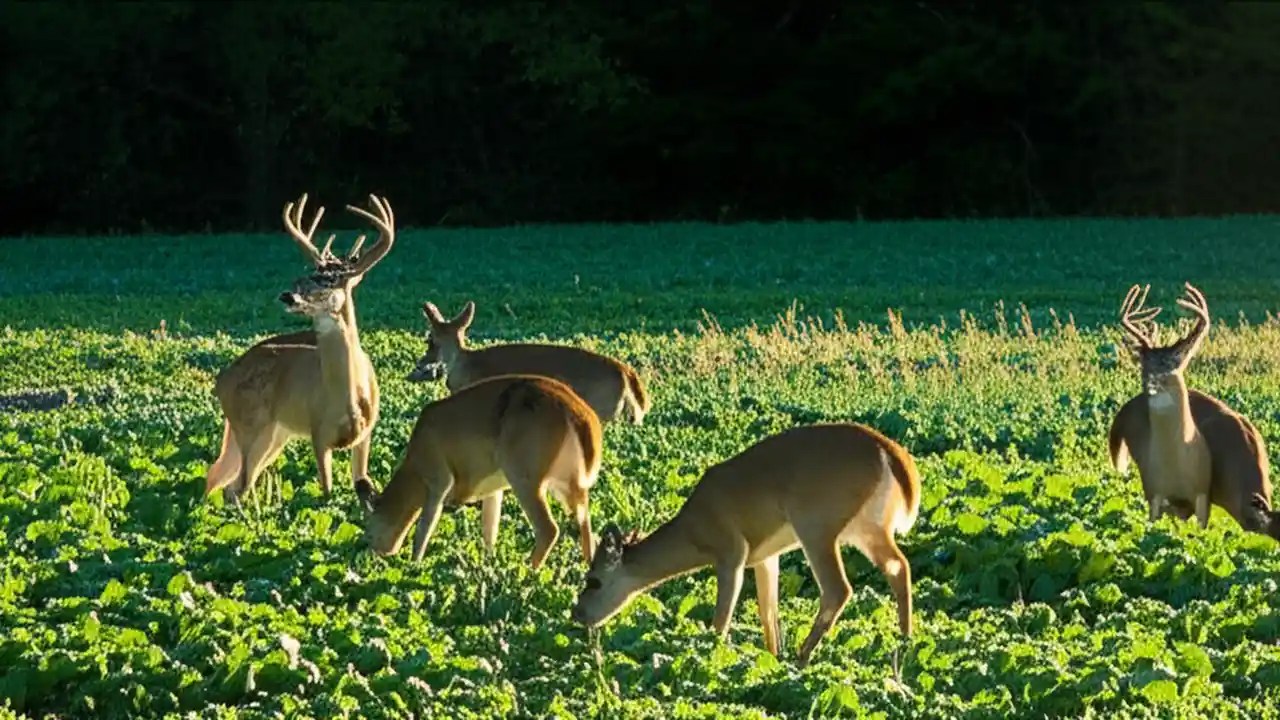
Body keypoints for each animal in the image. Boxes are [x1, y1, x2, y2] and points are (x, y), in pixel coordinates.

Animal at [204, 193, 396, 504]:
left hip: (273, 434)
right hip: (252, 427)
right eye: (299, 278)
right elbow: (327, 491)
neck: (349, 397)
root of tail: (221, 382)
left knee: (225, 481)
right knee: (236, 485)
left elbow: (363, 484)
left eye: (328, 281)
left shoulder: (366, 433)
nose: (287, 295)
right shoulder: (318, 432)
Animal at [353, 374, 602, 569]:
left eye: (368, 531)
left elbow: (424, 528)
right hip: (570, 483)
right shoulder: (494, 487)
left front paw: (414, 565)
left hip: (525, 475)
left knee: (549, 529)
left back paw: (525, 572)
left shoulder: (438, 479)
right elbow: (489, 529)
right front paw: (487, 564)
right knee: (586, 523)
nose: (373, 554)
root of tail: (583, 420)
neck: (414, 466)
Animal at [570, 423, 920, 668]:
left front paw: (708, 655)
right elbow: (769, 614)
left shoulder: (732, 552)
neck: (694, 531)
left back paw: (803, 657)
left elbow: (721, 619)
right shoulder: (765, 557)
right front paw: (772, 659)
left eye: (594, 580)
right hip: (867, 528)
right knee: (899, 566)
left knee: (839, 588)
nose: (577, 613)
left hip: (817, 524)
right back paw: (903, 643)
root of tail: (891, 453)